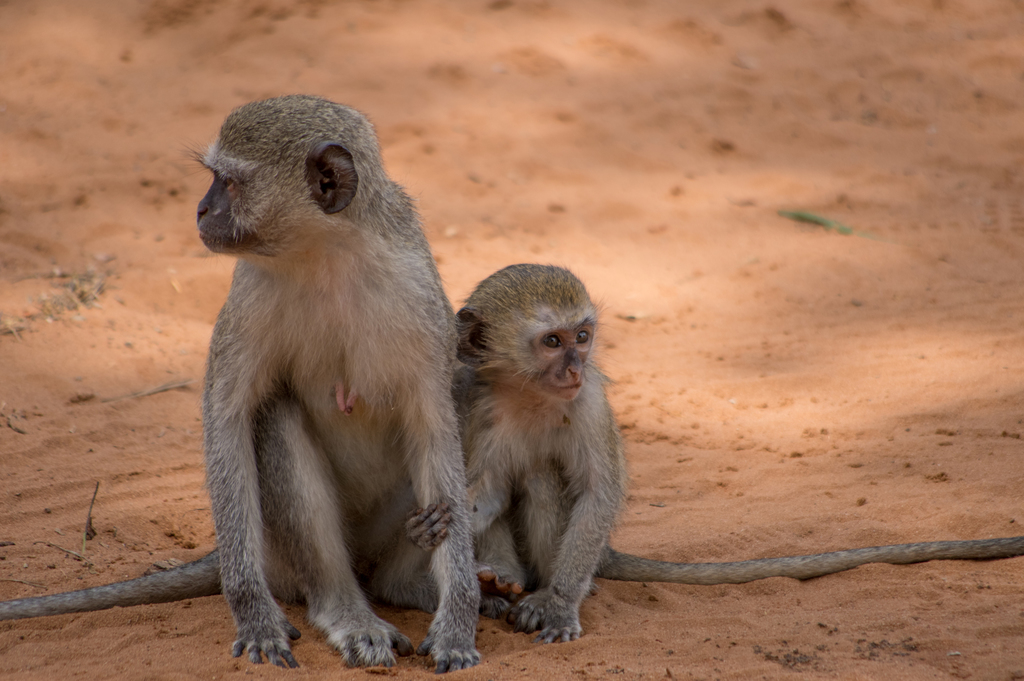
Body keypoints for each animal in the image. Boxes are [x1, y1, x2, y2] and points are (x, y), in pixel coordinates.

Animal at [0, 95, 481, 673]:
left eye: (228, 183)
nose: (200, 211)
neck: (329, 255)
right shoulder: (251, 293)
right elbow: (227, 417)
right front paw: (254, 613)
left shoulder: (419, 299)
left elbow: (435, 427)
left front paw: (458, 622)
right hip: (277, 550)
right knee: (276, 416)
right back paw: (346, 610)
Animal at [407, 262, 1024, 644]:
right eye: (552, 342)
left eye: (582, 336)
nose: (577, 369)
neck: (530, 395)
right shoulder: (470, 400)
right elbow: (478, 493)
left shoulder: (589, 406)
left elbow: (597, 493)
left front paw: (557, 603)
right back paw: (500, 581)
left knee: (541, 478)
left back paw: (549, 586)